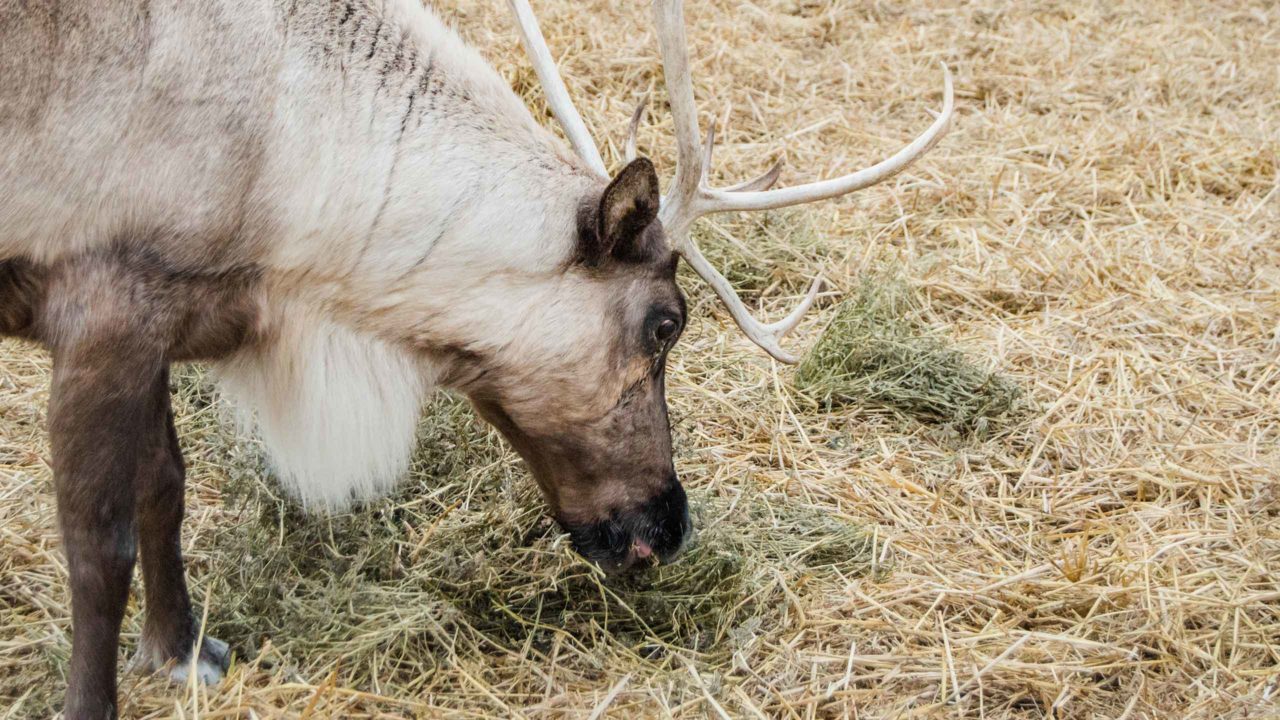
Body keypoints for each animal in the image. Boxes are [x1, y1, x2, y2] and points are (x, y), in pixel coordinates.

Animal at [0, 0, 953, 716]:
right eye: (666, 324)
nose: (671, 524)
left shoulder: (160, 315)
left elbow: (165, 487)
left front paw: (181, 650)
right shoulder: (102, 308)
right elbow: (99, 547)